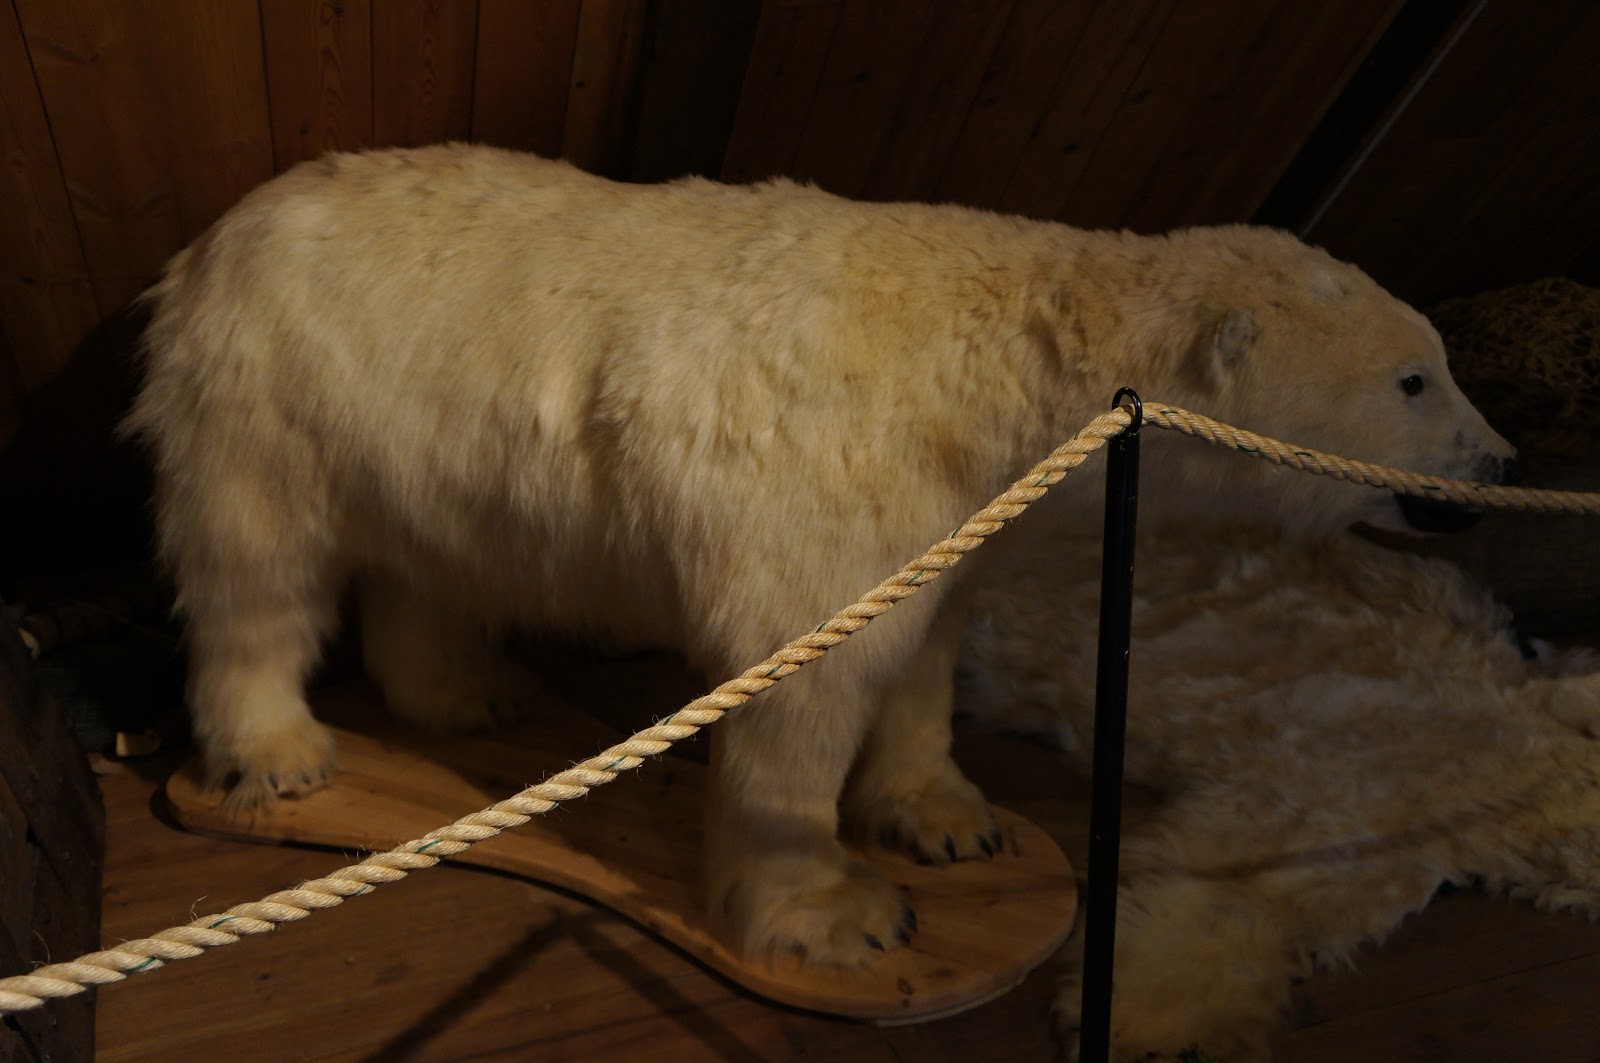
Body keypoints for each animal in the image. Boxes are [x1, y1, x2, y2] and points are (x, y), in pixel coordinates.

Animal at [125, 142, 1514, 968]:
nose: (1498, 469)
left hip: (410, 426)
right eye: (1415, 376)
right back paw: (280, 752)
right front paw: (837, 914)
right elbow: (802, 688)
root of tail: (210, 238)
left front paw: (947, 820)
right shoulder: (830, 482)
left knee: (423, 555)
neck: (977, 357)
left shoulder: (950, 507)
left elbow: (924, 654)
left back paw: (469, 693)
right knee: (258, 574)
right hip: (270, 390)